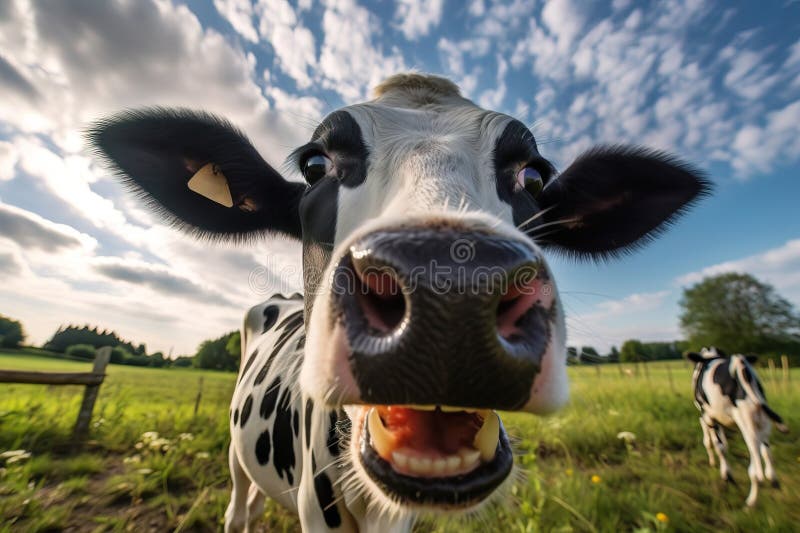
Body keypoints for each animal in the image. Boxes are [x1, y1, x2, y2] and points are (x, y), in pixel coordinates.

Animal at [688, 346, 788, 507]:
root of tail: (740, 363)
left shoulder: (710, 416)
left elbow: (719, 446)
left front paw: (726, 475)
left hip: (746, 422)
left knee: (755, 470)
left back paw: (751, 501)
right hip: (761, 421)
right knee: (766, 452)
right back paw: (772, 480)